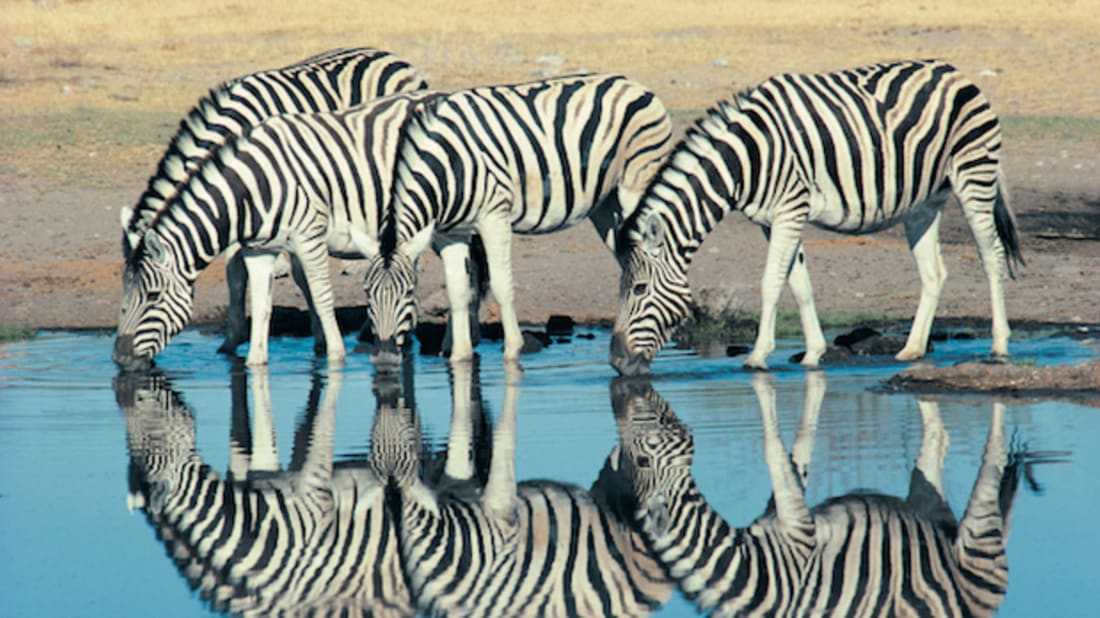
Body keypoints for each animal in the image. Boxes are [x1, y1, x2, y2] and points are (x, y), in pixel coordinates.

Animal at [112, 89, 460, 371]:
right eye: (125, 291)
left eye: (153, 296)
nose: (119, 358)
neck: (252, 188)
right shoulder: (259, 249)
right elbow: (260, 302)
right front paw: (253, 361)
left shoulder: (308, 237)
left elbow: (320, 295)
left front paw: (334, 354)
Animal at [362, 73, 673, 365]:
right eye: (367, 293)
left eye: (409, 293)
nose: (384, 358)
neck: (447, 167)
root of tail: (635, 84)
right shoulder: (449, 233)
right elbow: (458, 292)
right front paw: (460, 357)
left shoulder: (493, 217)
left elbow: (502, 285)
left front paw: (513, 349)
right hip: (605, 206)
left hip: (636, 185)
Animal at [610, 60, 1025, 374]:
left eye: (639, 289)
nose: (616, 363)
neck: (743, 160)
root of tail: (955, 72)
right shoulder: (771, 220)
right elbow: (799, 284)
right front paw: (813, 353)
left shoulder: (789, 209)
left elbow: (771, 282)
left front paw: (758, 356)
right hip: (922, 204)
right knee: (934, 273)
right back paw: (912, 349)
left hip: (974, 174)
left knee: (991, 256)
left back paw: (1000, 346)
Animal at [611, 373, 1032, 617]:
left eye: (643, 459)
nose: (625, 399)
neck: (751, 569)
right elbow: (791, 464)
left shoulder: (798, 532)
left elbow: (774, 451)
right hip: (930, 516)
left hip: (978, 534)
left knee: (989, 477)